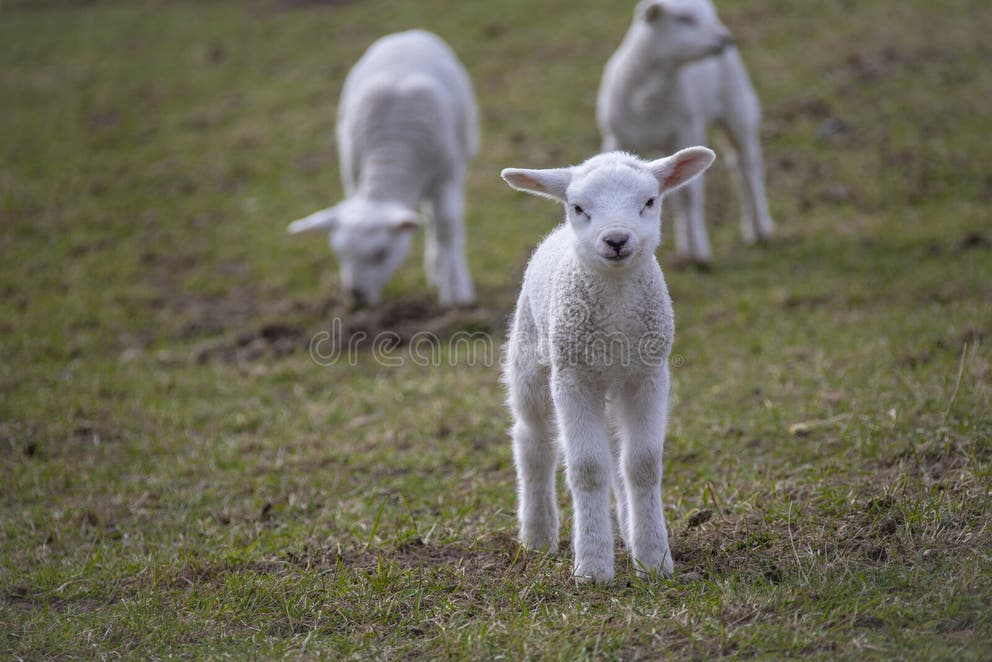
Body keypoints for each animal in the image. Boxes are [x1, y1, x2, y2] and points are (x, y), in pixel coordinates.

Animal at [287, 30, 478, 307]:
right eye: (339, 253)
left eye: (381, 253)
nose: (356, 296)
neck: (392, 149)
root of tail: (407, 33)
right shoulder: (351, 173)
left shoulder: (446, 175)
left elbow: (447, 229)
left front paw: (456, 291)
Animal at [501, 147, 715, 584]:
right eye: (579, 207)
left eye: (649, 201)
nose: (616, 239)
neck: (615, 303)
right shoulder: (573, 378)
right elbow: (587, 468)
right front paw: (593, 567)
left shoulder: (649, 375)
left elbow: (642, 465)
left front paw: (654, 559)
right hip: (531, 356)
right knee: (532, 439)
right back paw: (538, 534)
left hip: (615, 384)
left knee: (617, 454)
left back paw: (629, 534)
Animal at [597, 0, 774, 264]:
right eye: (684, 19)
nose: (725, 39)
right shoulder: (616, 137)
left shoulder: (687, 131)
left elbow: (691, 194)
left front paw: (700, 252)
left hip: (738, 106)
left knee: (747, 167)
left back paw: (761, 228)